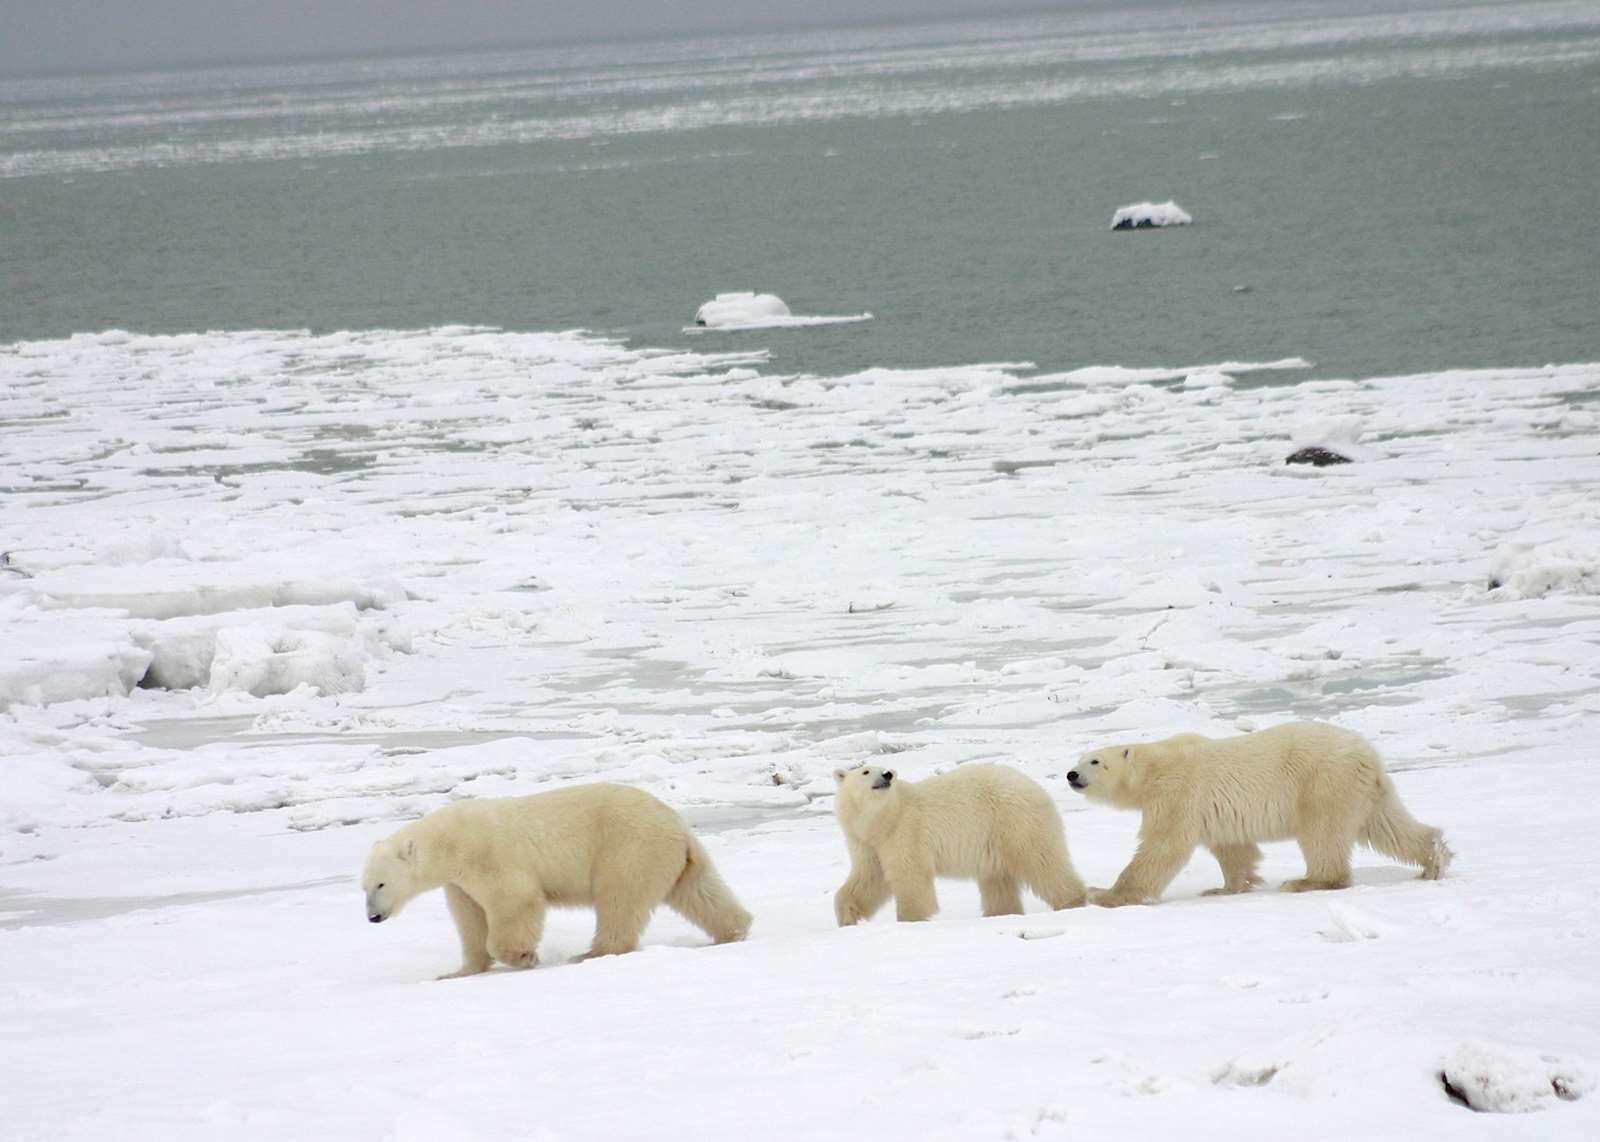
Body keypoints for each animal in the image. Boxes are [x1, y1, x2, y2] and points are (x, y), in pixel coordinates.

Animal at [361, 783, 752, 978]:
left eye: (380, 884)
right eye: (364, 887)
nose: (372, 918)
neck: (450, 841)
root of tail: (677, 824)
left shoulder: (487, 855)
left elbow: (515, 901)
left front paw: (523, 956)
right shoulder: (460, 882)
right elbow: (470, 919)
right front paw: (459, 972)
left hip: (627, 848)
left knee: (619, 900)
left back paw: (591, 952)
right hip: (675, 858)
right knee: (699, 891)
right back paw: (734, 929)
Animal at [832, 762, 1087, 925]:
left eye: (888, 772)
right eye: (865, 771)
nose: (887, 774)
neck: (883, 819)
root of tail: (1036, 787)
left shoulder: (906, 830)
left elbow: (910, 875)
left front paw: (910, 919)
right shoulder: (866, 842)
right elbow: (868, 878)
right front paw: (847, 917)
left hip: (1015, 822)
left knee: (1041, 861)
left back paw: (1072, 900)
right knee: (997, 881)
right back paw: (1000, 913)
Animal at [1066, 721, 1452, 906]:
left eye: (1094, 761)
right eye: (1079, 759)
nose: (1071, 774)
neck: (1154, 766)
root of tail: (1367, 752)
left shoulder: (1177, 791)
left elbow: (1163, 846)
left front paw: (1106, 894)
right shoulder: (1209, 807)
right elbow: (1233, 848)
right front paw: (1225, 888)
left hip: (1323, 780)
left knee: (1322, 833)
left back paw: (1307, 881)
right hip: (1364, 789)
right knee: (1386, 825)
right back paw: (1434, 858)